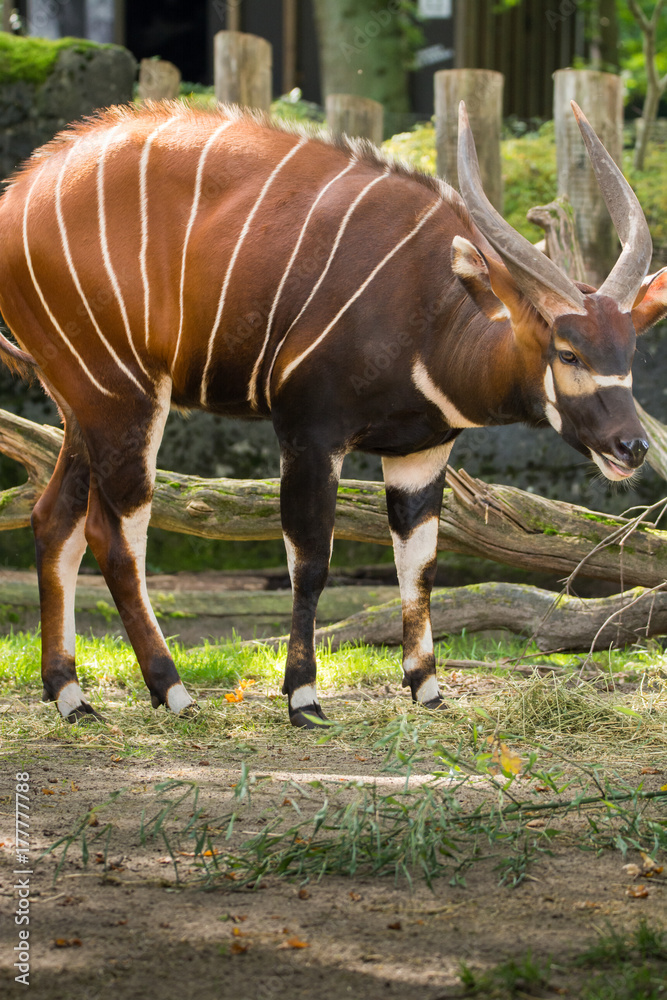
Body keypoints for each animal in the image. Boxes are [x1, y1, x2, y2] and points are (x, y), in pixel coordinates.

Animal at [0, 100, 665, 728]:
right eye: (568, 351)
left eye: (630, 349)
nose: (632, 447)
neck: (433, 306)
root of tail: (18, 197)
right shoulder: (310, 432)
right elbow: (311, 561)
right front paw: (303, 699)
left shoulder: (420, 452)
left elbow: (419, 563)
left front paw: (428, 689)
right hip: (124, 397)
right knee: (114, 534)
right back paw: (174, 691)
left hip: (83, 406)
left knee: (52, 518)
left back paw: (70, 696)